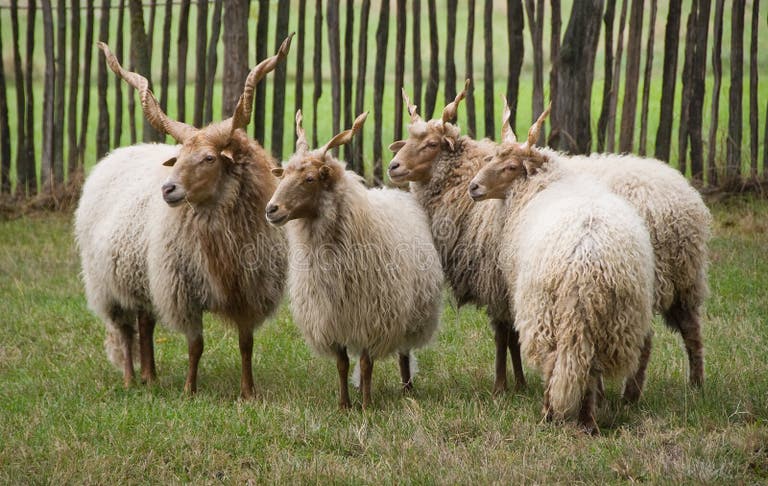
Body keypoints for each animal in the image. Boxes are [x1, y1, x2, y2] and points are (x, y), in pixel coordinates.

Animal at [74, 36, 293, 398]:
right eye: (178, 158)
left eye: (209, 158)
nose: (168, 189)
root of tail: (118, 152)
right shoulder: (182, 292)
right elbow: (196, 345)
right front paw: (190, 390)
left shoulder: (248, 290)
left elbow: (246, 344)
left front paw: (248, 392)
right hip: (109, 284)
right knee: (126, 331)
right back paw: (131, 379)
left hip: (143, 279)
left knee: (146, 322)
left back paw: (150, 376)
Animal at [266, 111, 443, 410]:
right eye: (284, 174)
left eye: (310, 178)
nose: (271, 209)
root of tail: (389, 190)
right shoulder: (332, 320)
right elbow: (342, 364)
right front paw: (344, 405)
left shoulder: (371, 317)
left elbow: (367, 363)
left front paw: (367, 405)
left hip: (410, 313)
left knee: (404, 353)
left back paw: (407, 387)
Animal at [387, 81, 526, 395]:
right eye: (407, 140)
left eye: (431, 144)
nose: (393, 167)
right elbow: (513, 335)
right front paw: (520, 383)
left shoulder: (496, 280)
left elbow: (503, 335)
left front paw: (501, 386)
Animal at [468, 109, 655, 433]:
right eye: (492, 158)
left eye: (511, 166)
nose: (474, 187)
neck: (540, 185)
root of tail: (585, 260)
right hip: (609, 318)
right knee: (590, 366)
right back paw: (589, 422)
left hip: (547, 310)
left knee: (554, 359)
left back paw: (549, 413)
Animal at [497, 98, 712, 389]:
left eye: (509, 166)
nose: (474, 188)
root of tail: (684, 203)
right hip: (680, 279)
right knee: (690, 330)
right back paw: (695, 385)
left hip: (658, 279)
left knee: (654, 340)